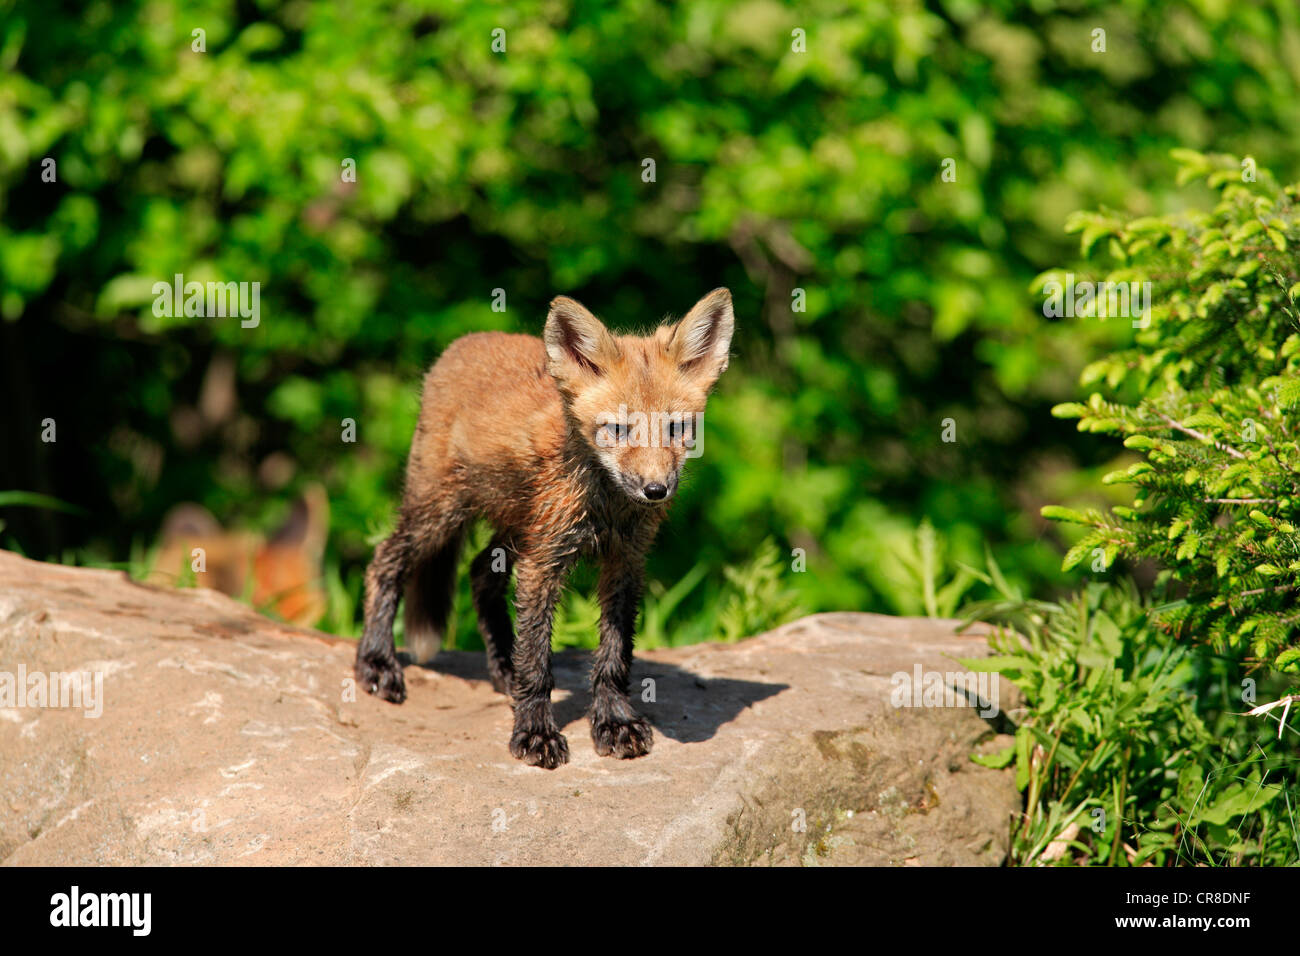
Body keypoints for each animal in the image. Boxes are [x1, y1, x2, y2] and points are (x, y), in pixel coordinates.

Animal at [355, 288, 735, 768]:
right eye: (617, 428)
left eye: (677, 428)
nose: (655, 490)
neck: (607, 509)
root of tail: (463, 342)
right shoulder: (544, 563)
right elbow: (538, 659)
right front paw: (535, 732)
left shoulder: (625, 563)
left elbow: (614, 658)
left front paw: (614, 721)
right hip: (440, 513)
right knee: (384, 560)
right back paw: (376, 661)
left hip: (517, 529)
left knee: (479, 573)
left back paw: (503, 669)